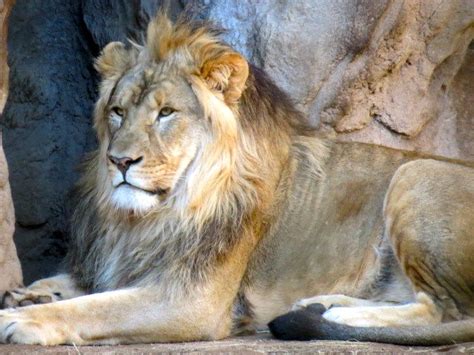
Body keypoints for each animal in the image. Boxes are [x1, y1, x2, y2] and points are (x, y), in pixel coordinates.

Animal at [0, 14, 474, 348]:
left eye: (166, 113)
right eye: (118, 112)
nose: (119, 161)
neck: (148, 217)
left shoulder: (192, 300)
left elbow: (95, 309)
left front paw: (23, 319)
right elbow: (77, 287)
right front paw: (28, 295)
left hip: (415, 173)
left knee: (444, 311)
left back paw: (339, 317)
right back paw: (323, 304)